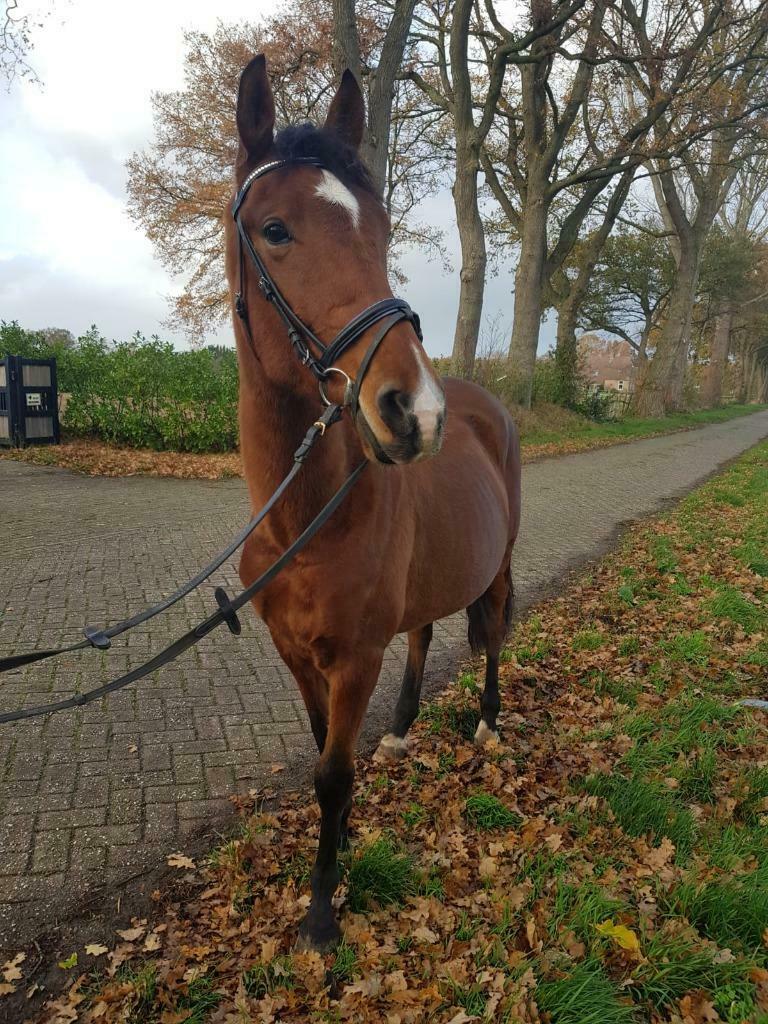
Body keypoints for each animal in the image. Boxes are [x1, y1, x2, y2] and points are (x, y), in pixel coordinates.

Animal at [225, 55, 521, 950]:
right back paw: (399, 728)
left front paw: (323, 909)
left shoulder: (354, 658)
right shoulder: (296, 656)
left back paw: (487, 719)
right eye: (276, 230)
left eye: (384, 233)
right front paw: (347, 840)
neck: (308, 521)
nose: (414, 412)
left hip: (500, 563)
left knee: (494, 628)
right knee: (424, 631)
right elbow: (327, 752)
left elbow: (331, 773)